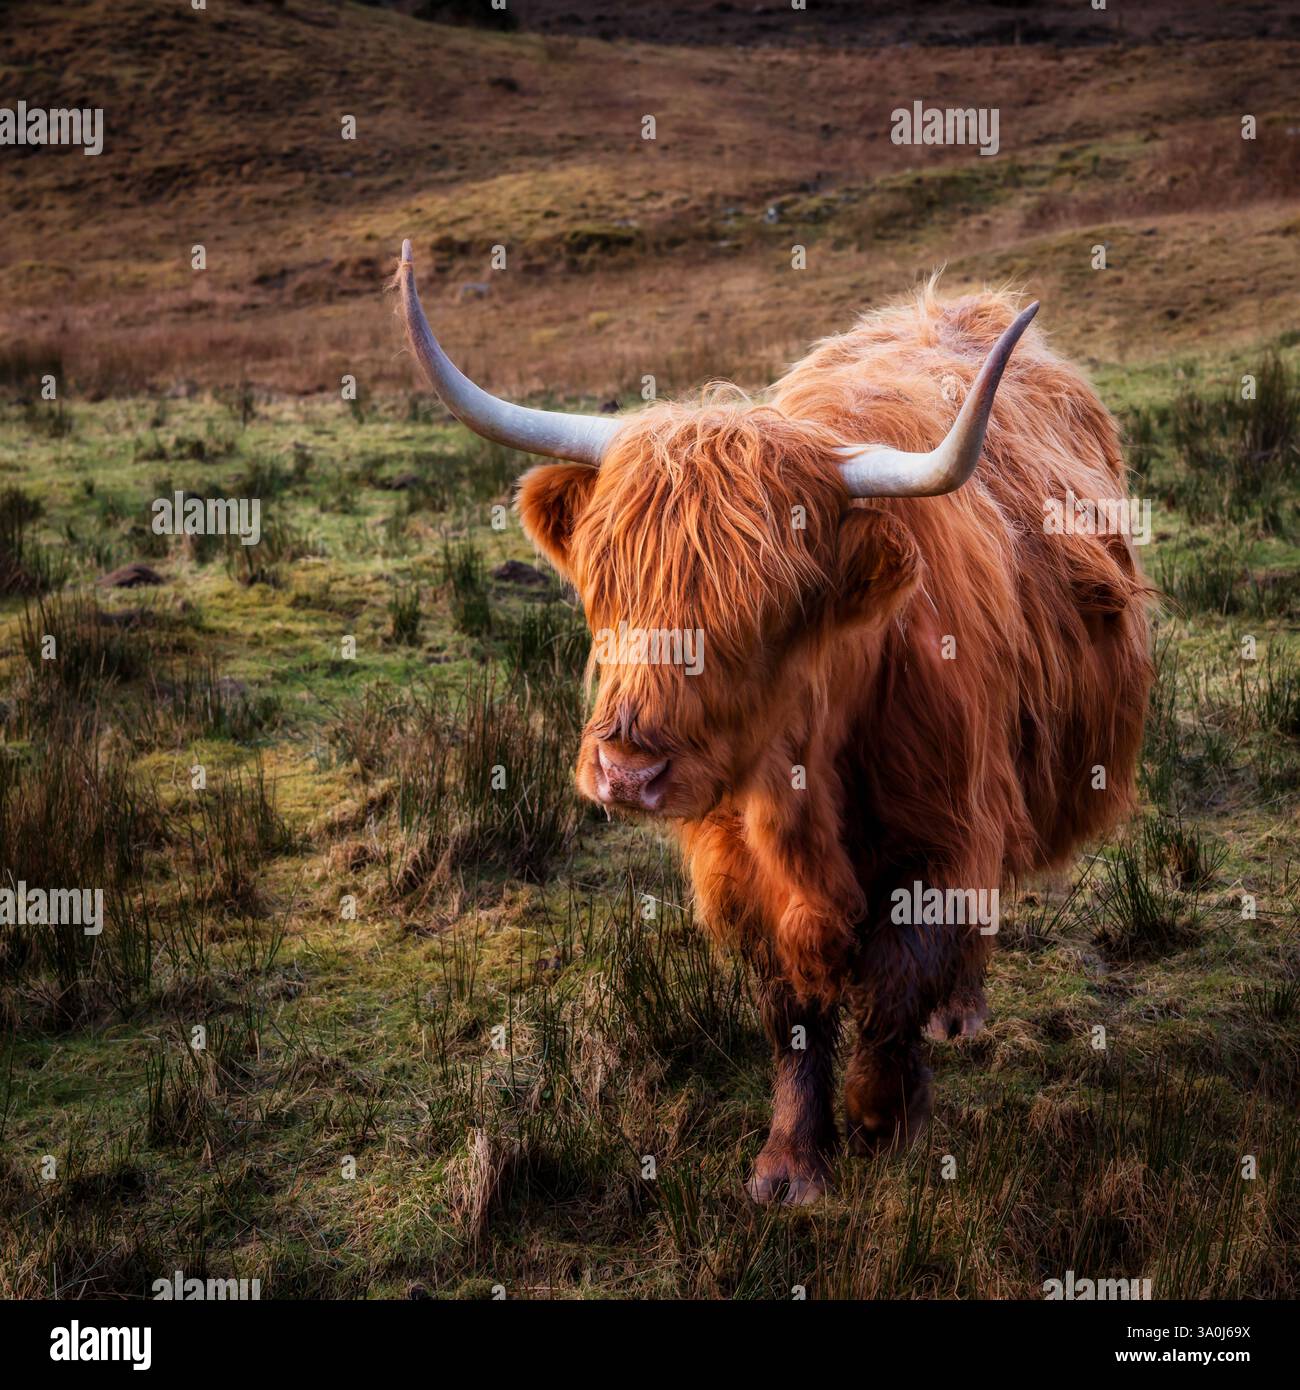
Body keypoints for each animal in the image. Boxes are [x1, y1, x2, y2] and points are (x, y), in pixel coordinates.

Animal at [394, 240, 1152, 1204]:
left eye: (773, 604)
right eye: (606, 582)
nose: (628, 772)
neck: (806, 782)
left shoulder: (948, 838)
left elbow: (899, 982)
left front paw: (886, 1117)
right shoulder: (737, 864)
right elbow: (788, 1009)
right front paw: (790, 1165)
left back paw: (960, 1013)